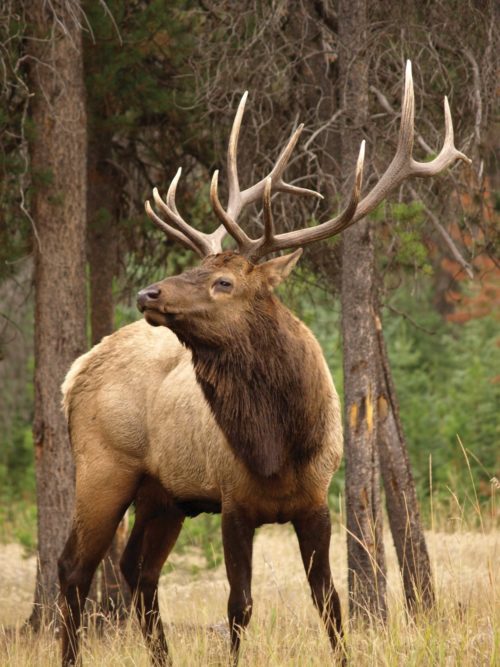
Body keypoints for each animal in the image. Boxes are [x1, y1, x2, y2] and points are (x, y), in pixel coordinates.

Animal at [58, 61, 470, 666]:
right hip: (103, 466)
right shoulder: (233, 501)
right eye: (197, 267)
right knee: (75, 570)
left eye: (223, 281)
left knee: (138, 570)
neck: (279, 448)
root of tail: (74, 373)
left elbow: (330, 601)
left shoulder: (316, 500)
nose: (147, 292)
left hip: (164, 493)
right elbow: (239, 605)